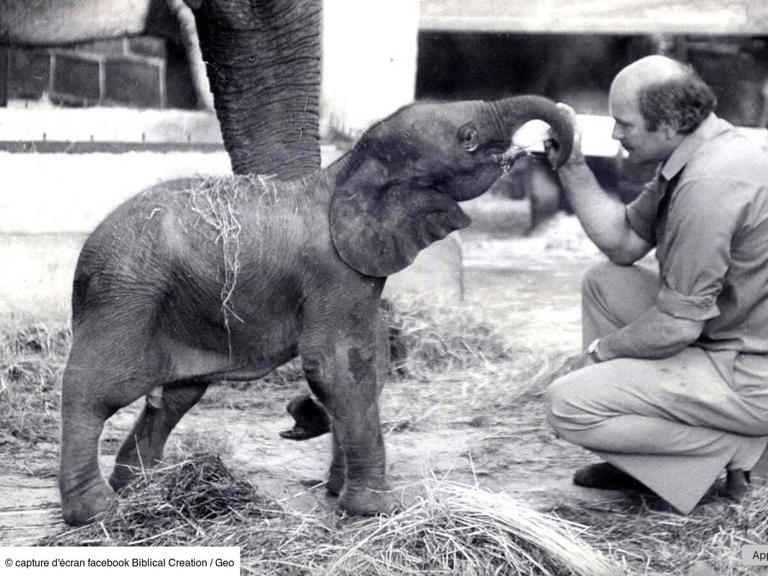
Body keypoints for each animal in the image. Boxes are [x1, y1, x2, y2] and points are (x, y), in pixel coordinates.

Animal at [58, 94, 574, 525]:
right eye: (467, 137)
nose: (551, 150)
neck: (346, 170)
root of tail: (84, 256)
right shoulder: (332, 271)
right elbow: (337, 364)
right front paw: (374, 510)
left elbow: (368, 362)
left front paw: (331, 478)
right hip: (128, 295)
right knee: (97, 389)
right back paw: (97, 511)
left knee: (177, 395)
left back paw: (142, 488)